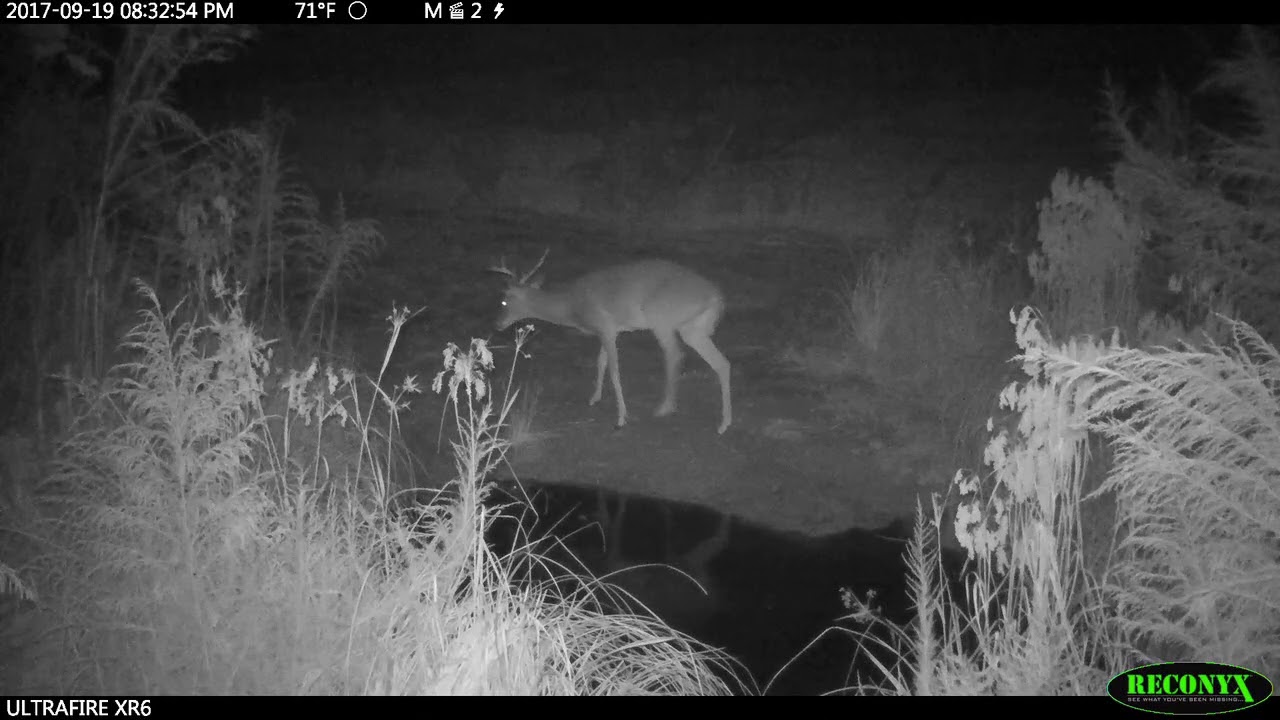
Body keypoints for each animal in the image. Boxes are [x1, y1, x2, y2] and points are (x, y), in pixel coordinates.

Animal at [490, 249, 732, 434]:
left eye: (503, 301)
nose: (497, 325)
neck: (571, 306)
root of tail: (717, 298)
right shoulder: (611, 330)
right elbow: (601, 362)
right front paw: (594, 398)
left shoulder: (604, 326)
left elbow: (614, 371)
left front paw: (621, 418)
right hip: (694, 329)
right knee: (722, 363)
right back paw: (723, 423)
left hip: (661, 319)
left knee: (674, 355)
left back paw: (665, 407)